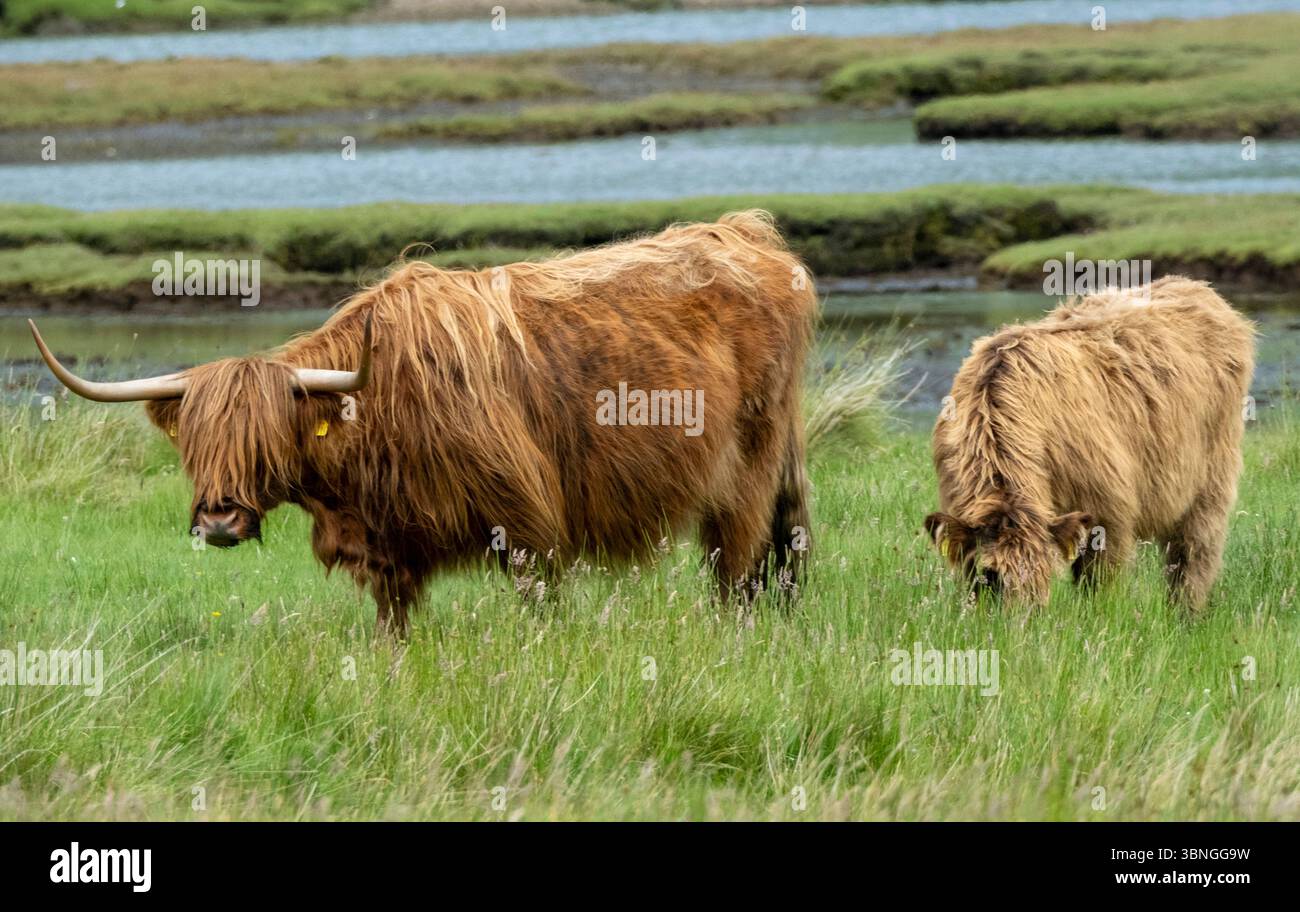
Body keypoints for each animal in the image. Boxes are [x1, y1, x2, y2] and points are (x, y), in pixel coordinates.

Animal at [30, 211, 817, 636]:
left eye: (265, 439)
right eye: (194, 445)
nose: (220, 520)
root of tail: (743, 233)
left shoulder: (526, 523)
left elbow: (540, 606)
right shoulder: (386, 552)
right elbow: (394, 628)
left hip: (745, 476)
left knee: (736, 571)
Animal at [924, 277, 1255, 613]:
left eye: (1044, 574)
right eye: (990, 575)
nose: (1024, 619)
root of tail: (1193, 285)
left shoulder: (1107, 512)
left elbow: (1096, 581)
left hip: (1212, 479)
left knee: (1193, 555)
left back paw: (1185, 613)